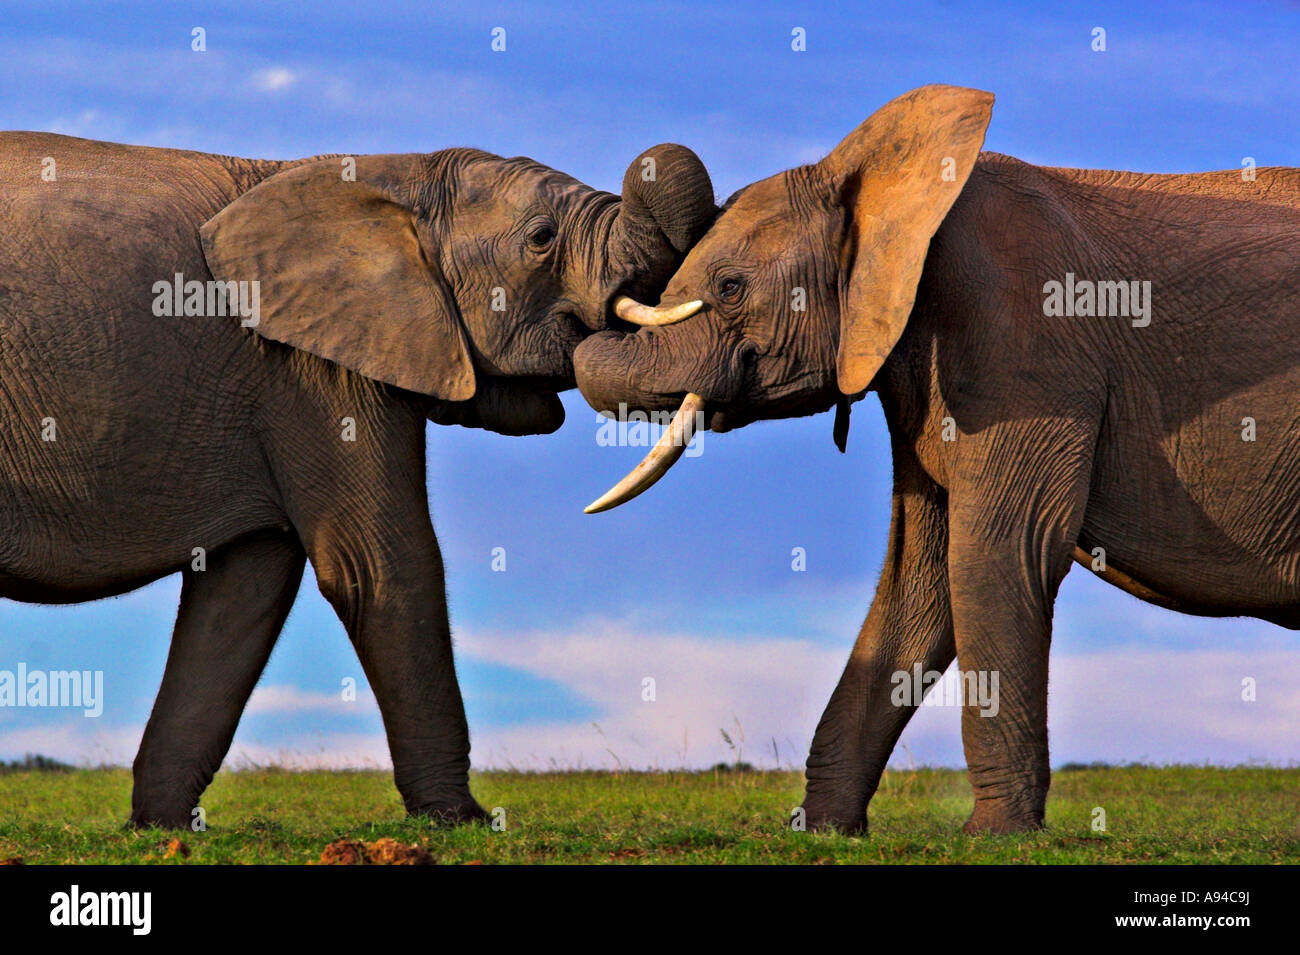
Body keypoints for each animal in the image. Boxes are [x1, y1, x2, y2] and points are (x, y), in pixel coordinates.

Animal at [0, 131, 715, 827]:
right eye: (541, 238)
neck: (394, 173)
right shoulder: (316, 368)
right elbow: (382, 566)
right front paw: (462, 821)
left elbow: (243, 593)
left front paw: (163, 831)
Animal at [574, 84, 1300, 834]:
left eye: (729, 289)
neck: (898, 196)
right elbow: (916, 582)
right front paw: (824, 831)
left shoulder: (1027, 347)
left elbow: (998, 554)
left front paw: (999, 836)